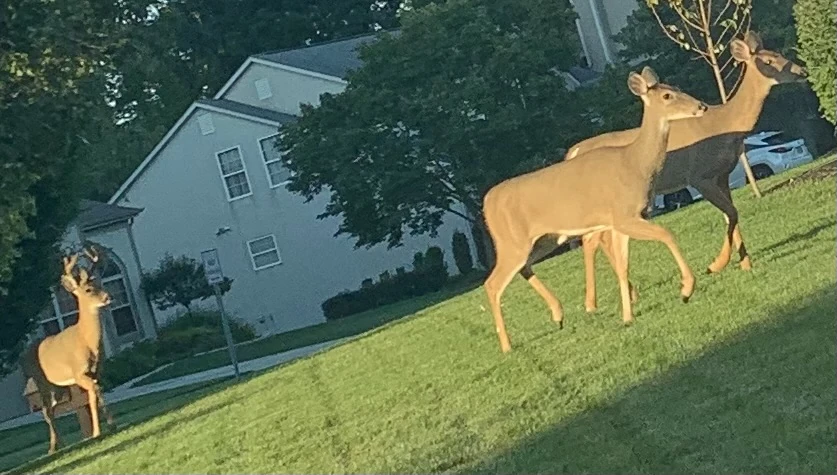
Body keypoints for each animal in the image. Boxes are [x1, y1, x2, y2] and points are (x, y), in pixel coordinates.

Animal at [20, 246, 113, 454]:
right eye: (88, 289)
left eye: (99, 283)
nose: (108, 297)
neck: (87, 342)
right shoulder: (78, 373)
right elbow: (94, 392)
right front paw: (99, 431)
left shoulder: (96, 372)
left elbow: (95, 393)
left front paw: (108, 425)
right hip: (41, 382)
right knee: (46, 410)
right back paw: (52, 448)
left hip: (57, 387)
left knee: (51, 409)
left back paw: (60, 444)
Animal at [482, 66, 707, 353]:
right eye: (667, 96)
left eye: (676, 87)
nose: (701, 106)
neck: (635, 163)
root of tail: (486, 204)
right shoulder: (624, 215)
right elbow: (666, 235)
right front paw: (686, 289)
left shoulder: (622, 220)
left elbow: (623, 266)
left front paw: (627, 317)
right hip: (512, 242)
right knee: (492, 284)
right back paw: (507, 345)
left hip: (545, 239)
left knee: (522, 269)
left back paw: (558, 314)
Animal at [560, 32, 809, 313]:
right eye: (768, 60)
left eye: (779, 54)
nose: (802, 71)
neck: (726, 124)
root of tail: (573, 152)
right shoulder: (699, 175)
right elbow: (731, 214)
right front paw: (716, 264)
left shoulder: (723, 174)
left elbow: (731, 215)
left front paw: (745, 263)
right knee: (594, 240)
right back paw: (607, 300)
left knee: (594, 240)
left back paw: (613, 298)